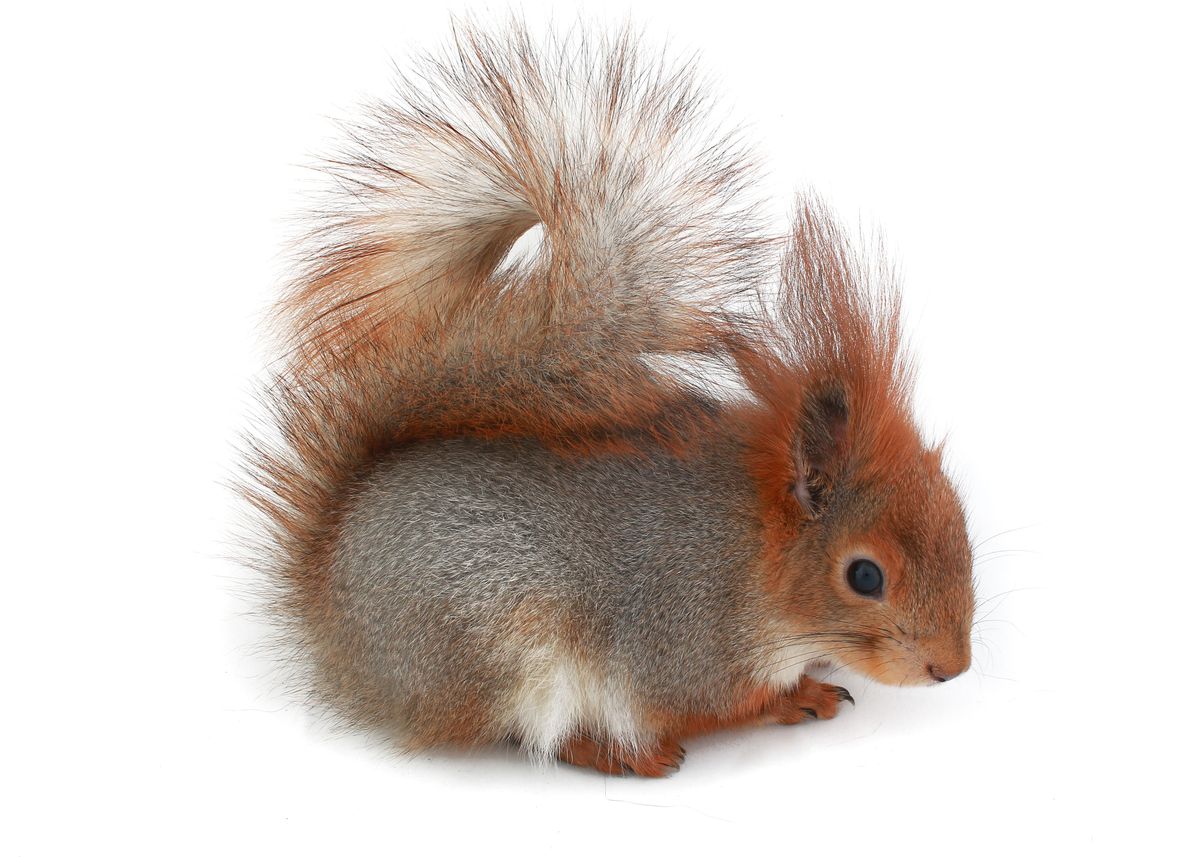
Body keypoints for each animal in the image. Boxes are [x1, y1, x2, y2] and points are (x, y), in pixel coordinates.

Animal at [243, 21, 976, 777]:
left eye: (961, 527)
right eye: (864, 575)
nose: (952, 668)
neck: (755, 555)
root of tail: (329, 614)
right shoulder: (686, 642)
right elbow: (716, 702)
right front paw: (796, 697)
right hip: (495, 647)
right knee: (526, 732)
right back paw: (623, 755)